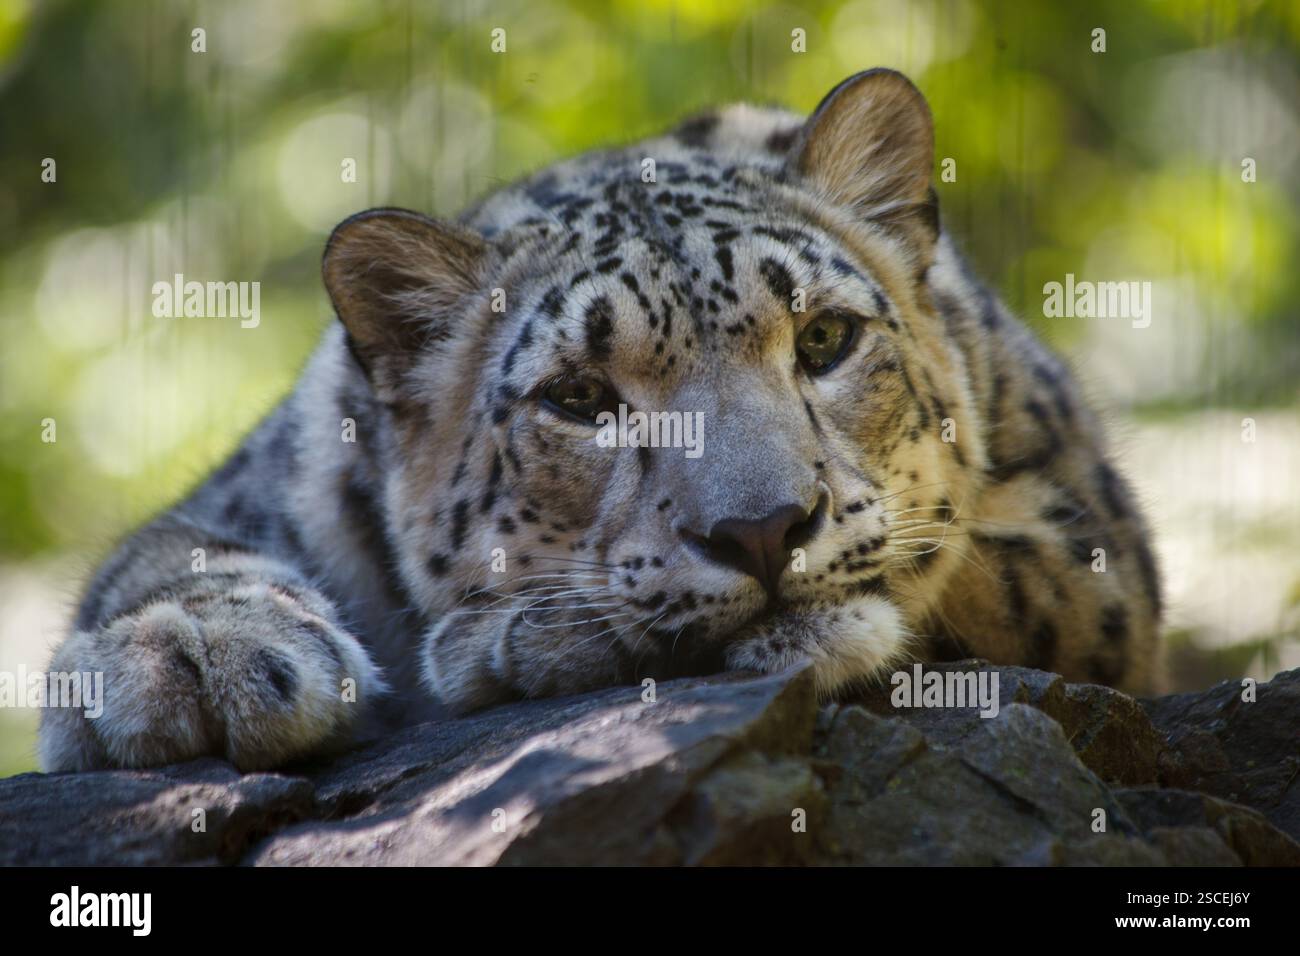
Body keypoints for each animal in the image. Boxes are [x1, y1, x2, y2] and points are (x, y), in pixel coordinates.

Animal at [39, 69, 1162, 772]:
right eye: (578, 398)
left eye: (826, 338)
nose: (763, 529)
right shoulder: (262, 487)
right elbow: (162, 555)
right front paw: (185, 657)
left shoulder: (1091, 533)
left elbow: (972, 563)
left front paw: (507, 641)